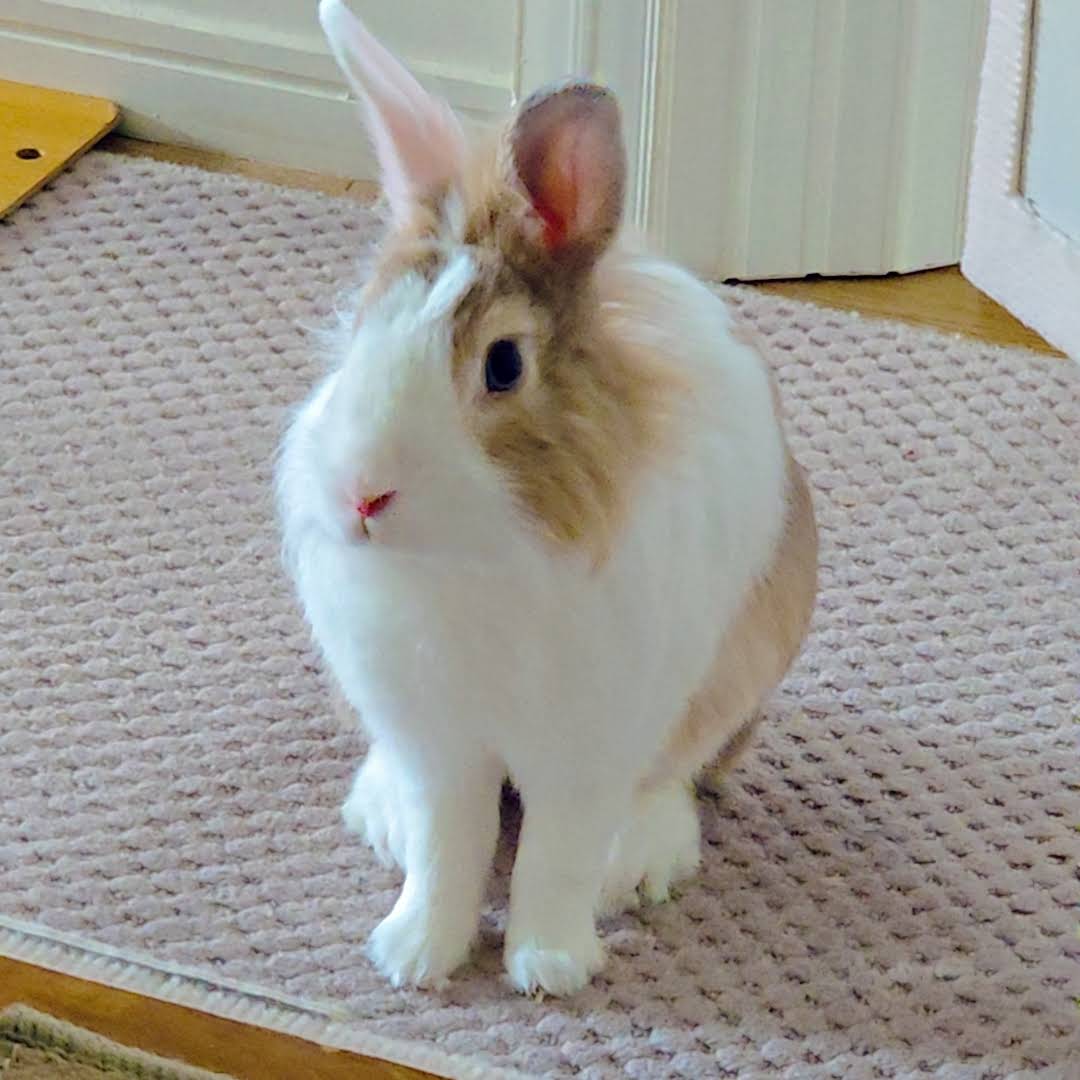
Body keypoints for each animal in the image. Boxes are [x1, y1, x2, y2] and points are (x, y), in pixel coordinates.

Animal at [276, 0, 818, 997]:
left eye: (503, 365)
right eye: (362, 328)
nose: (361, 495)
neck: (475, 554)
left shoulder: (587, 747)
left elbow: (556, 858)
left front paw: (547, 969)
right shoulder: (438, 743)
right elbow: (449, 851)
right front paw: (413, 960)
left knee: (671, 783)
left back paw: (640, 863)